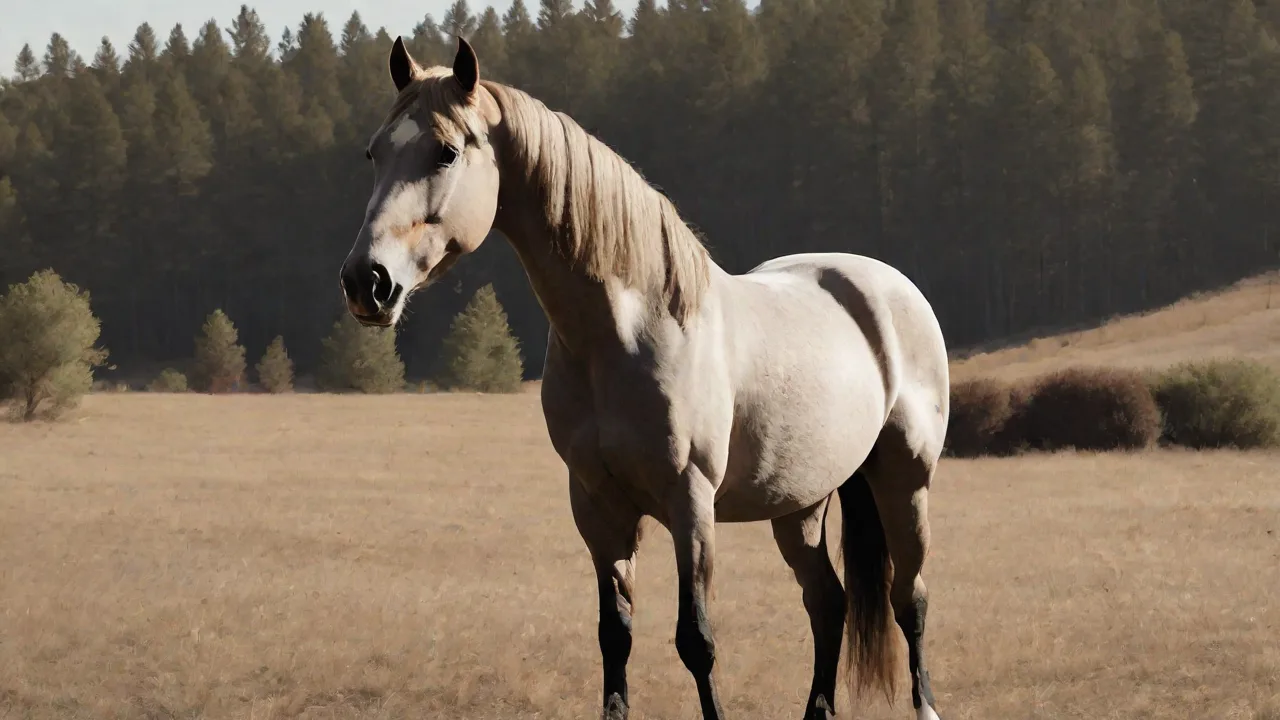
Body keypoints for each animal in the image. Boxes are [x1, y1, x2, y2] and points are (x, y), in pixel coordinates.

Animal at [338, 37, 950, 720]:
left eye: (445, 150)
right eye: (375, 152)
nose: (367, 281)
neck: (629, 331)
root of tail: (886, 284)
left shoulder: (690, 503)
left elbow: (696, 640)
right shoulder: (597, 507)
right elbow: (615, 636)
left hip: (905, 482)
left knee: (910, 600)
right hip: (801, 504)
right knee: (829, 603)